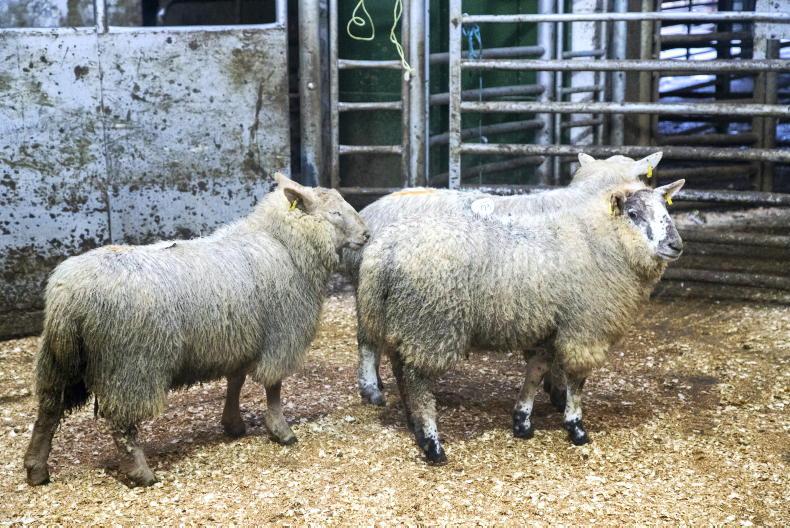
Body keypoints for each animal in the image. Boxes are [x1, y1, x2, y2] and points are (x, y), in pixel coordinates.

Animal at [23, 174, 369, 487]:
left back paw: (36, 470)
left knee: (48, 411)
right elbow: (273, 387)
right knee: (121, 424)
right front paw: (280, 430)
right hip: (130, 365)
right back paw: (140, 473)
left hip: (59, 361)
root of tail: (68, 298)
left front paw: (233, 424)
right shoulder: (281, 335)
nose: (366, 235)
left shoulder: (239, 336)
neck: (283, 244)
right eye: (335, 213)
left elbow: (235, 380)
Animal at [355, 178, 685, 463]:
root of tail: (383, 253)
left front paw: (522, 421)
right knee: (417, 381)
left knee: (400, 368)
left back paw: (412, 422)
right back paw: (431, 443)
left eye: (666, 209)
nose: (675, 245)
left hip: (403, 320)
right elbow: (576, 381)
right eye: (633, 213)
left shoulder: (548, 328)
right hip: (432, 324)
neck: (597, 240)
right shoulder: (584, 328)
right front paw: (576, 427)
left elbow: (536, 372)